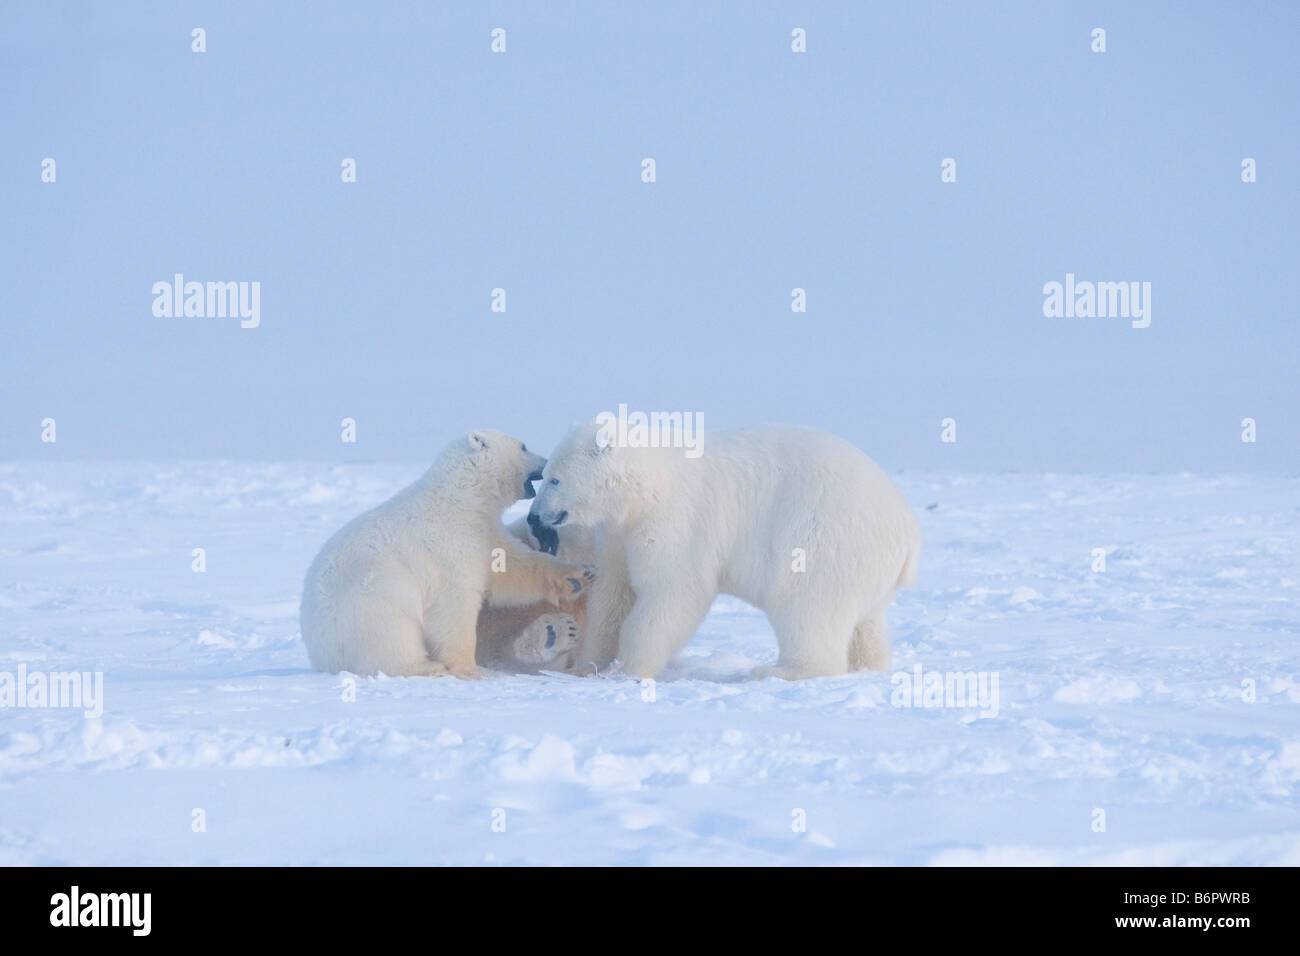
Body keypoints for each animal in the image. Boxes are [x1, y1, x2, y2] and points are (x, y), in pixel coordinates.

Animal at [528, 422, 920, 680]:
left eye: (554, 479)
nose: (534, 515)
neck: (648, 488)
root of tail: (907, 526)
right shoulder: (617, 534)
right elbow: (614, 594)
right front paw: (587, 665)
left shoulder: (677, 522)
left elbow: (673, 592)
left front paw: (631, 669)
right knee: (866, 622)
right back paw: (868, 665)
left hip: (823, 538)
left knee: (807, 606)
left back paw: (781, 670)